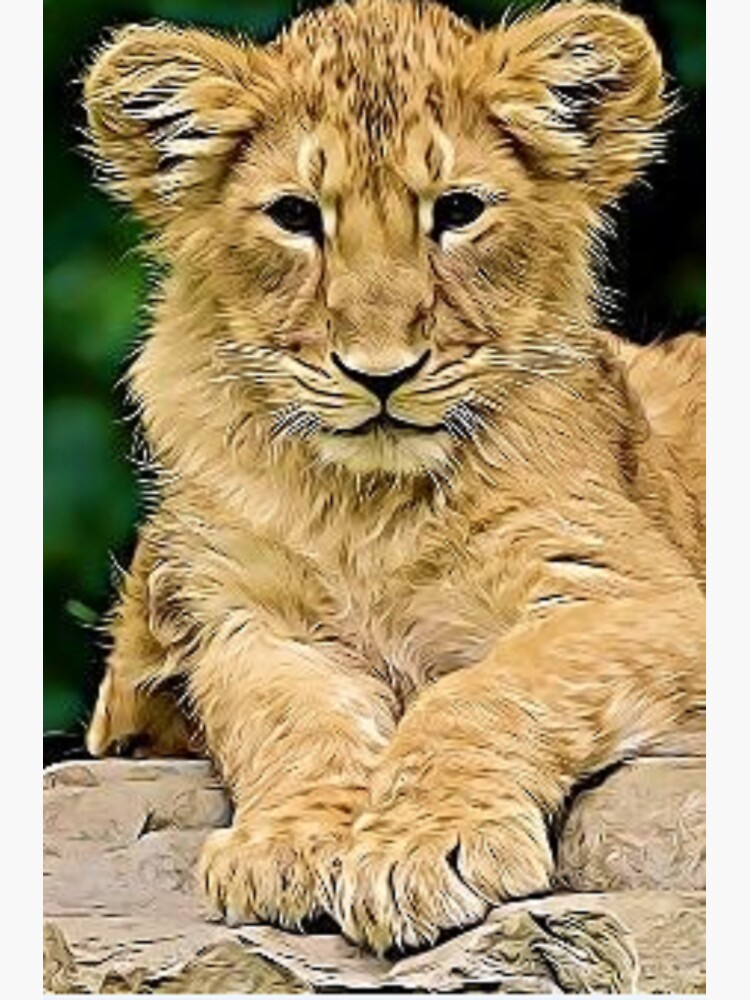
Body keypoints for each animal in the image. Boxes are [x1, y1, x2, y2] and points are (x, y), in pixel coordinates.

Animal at [81, 0, 705, 955]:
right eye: (295, 215)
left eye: (458, 211)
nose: (382, 374)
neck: (365, 506)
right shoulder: (245, 619)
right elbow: (290, 718)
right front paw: (290, 845)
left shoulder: (641, 595)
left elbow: (489, 691)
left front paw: (426, 844)